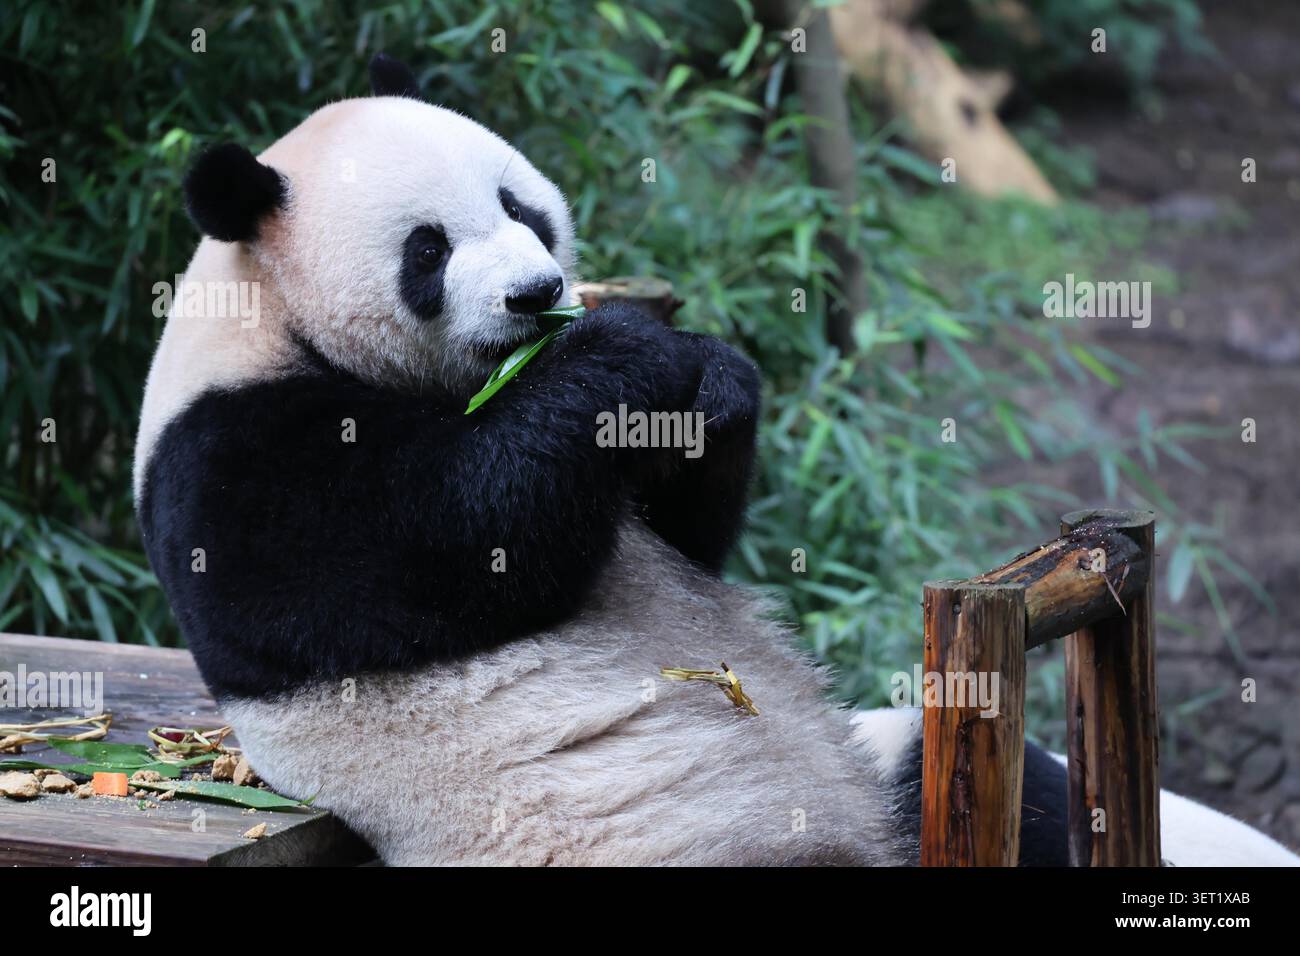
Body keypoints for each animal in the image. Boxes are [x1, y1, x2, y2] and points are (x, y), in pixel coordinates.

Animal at [134, 54, 1298, 867]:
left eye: (517, 204)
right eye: (427, 249)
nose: (535, 293)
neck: (269, 315)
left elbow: (685, 532)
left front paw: (714, 386)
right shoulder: (231, 460)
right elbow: (444, 542)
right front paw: (621, 357)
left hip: (879, 775)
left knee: (1013, 787)